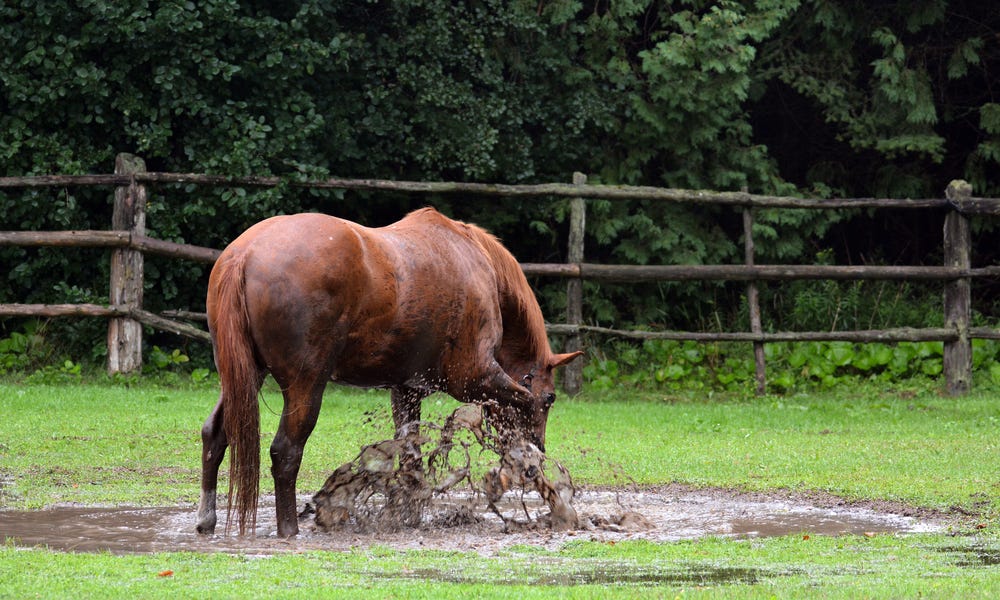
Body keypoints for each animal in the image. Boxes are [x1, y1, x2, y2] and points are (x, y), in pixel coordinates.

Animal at [195, 207, 583, 537]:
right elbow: (519, 401)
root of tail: (245, 254)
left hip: (244, 379)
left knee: (215, 434)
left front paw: (407, 511)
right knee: (285, 451)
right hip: (306, 386)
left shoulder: (407, 390)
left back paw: (207, 518)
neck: (475, 260)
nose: (540, 445)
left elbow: (411, 455)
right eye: (551, 398)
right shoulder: (476, 378)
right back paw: (288, 528)